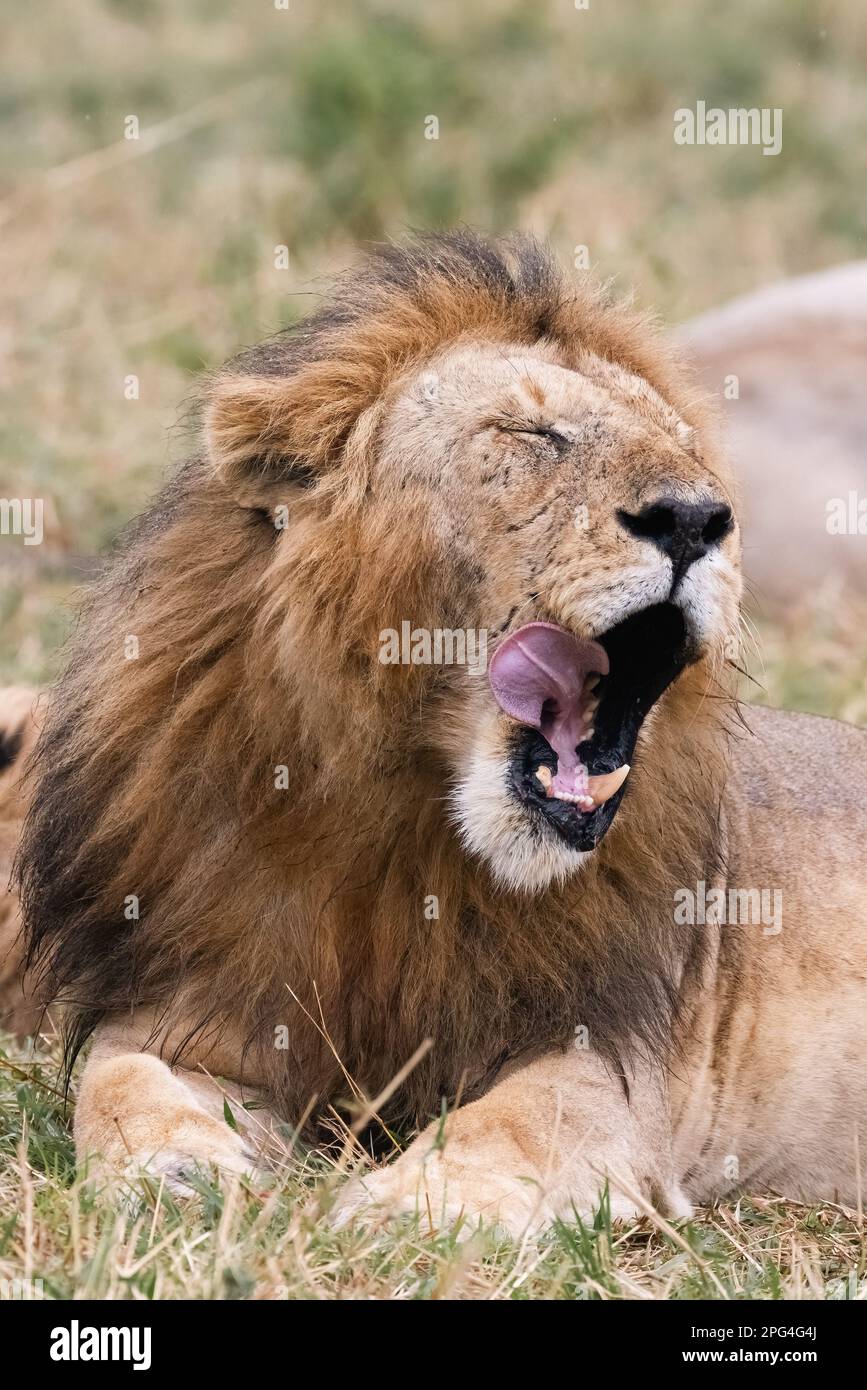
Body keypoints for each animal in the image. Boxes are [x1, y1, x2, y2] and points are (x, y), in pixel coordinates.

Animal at [17, 232, 867, 1231]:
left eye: (688, 450)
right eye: (532, 436)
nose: (698, 519)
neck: (403, 817)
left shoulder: (610, 1060)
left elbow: (514, 1125)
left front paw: (399, 1210)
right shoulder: (200, 1002)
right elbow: (122, 1076)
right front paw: (178, 1172)